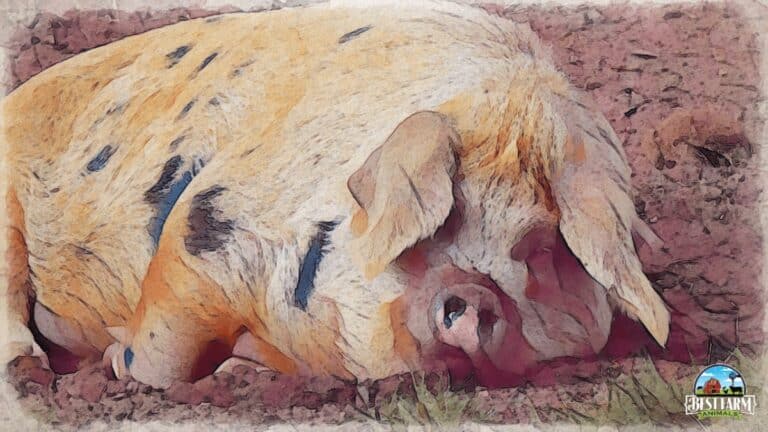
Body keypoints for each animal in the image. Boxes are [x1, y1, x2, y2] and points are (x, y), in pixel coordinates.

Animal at [1, 0, 670, 389]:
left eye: (539, 247)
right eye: (443, 218)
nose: (474, 296)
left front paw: (236, 368)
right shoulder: (204, 226)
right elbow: (165, 350)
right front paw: (115, 360)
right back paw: (31, 374)